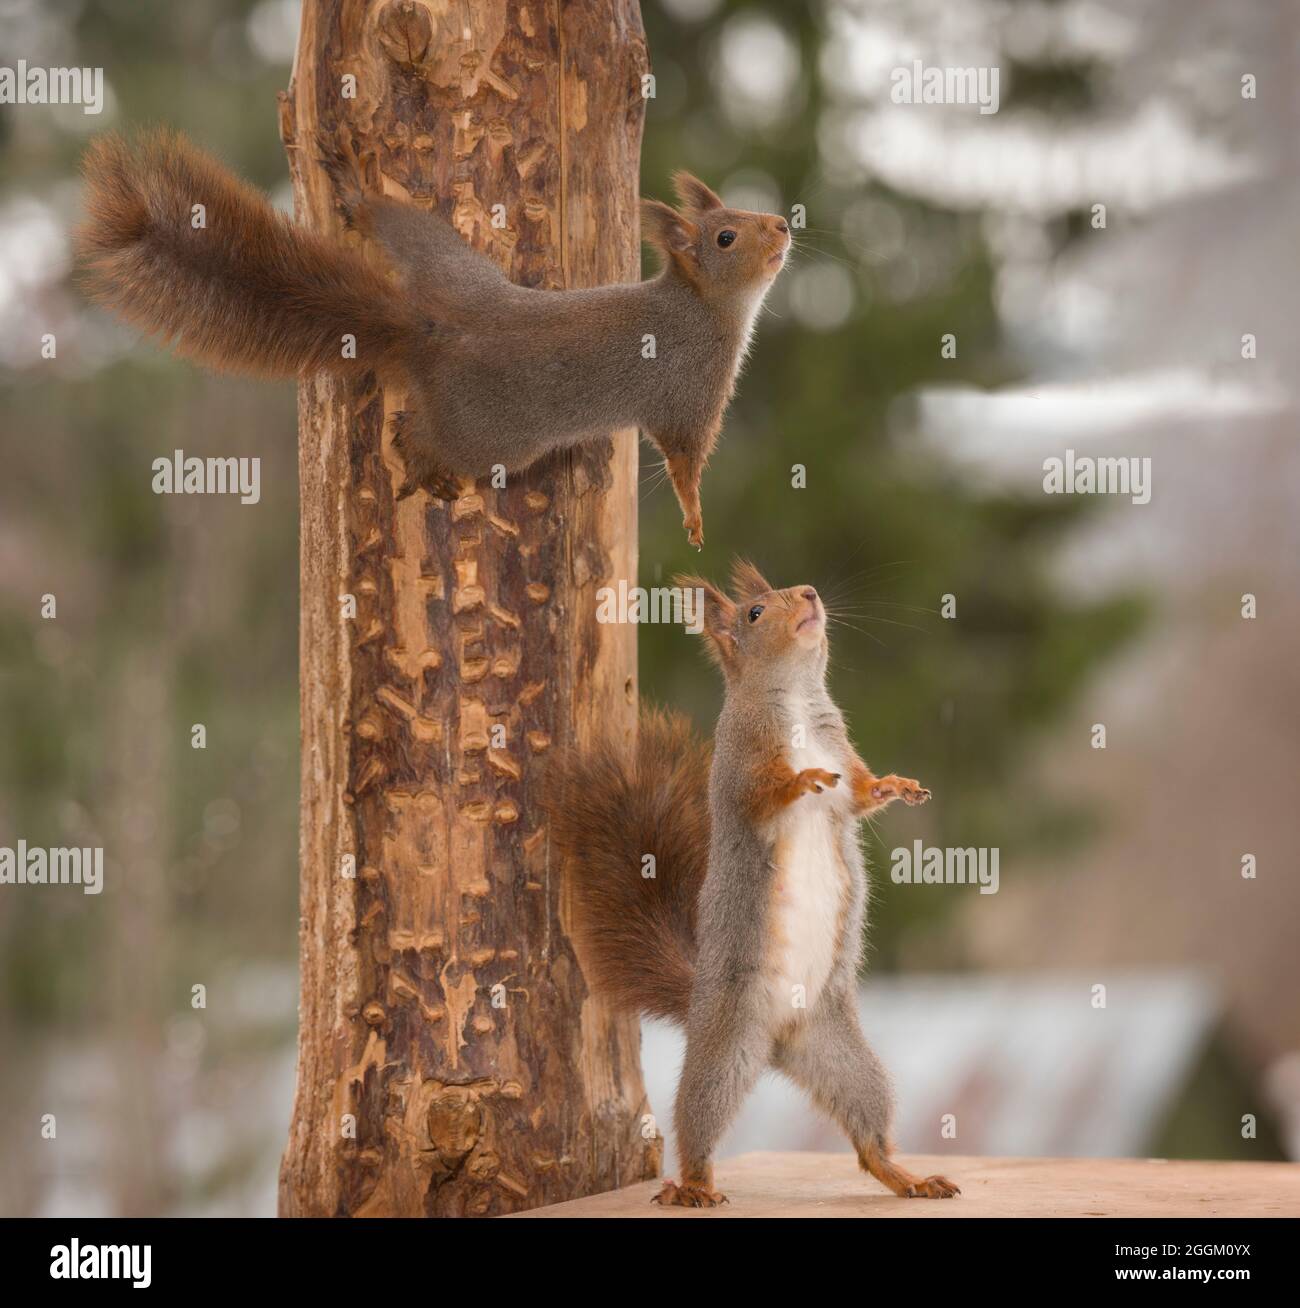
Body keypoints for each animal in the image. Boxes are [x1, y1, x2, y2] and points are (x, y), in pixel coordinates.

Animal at [76, 129, 792, 548]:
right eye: (726, 236)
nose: (784, 225)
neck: (704, 307)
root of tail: (432, 331)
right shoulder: (690, 393)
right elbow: (684, 460)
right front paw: (695, 518)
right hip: (491, 435)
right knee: (427, 438)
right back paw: (419, 461)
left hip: (441, 254)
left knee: (388, 219)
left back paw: (355, 188)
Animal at [549, 560, 960, 1207]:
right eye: (755, 613)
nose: (812, 595)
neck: (793, 698)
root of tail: (778, 1042)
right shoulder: (740, 766)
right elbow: (763, 799)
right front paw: (801, 778)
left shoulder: (841, 753)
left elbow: (862, 795)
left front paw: (898, 785)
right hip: (725, 1047)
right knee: (700, 1120)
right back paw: (693, 1186)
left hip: (843, 1055)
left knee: (867, 1133)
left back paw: (910, 1177)